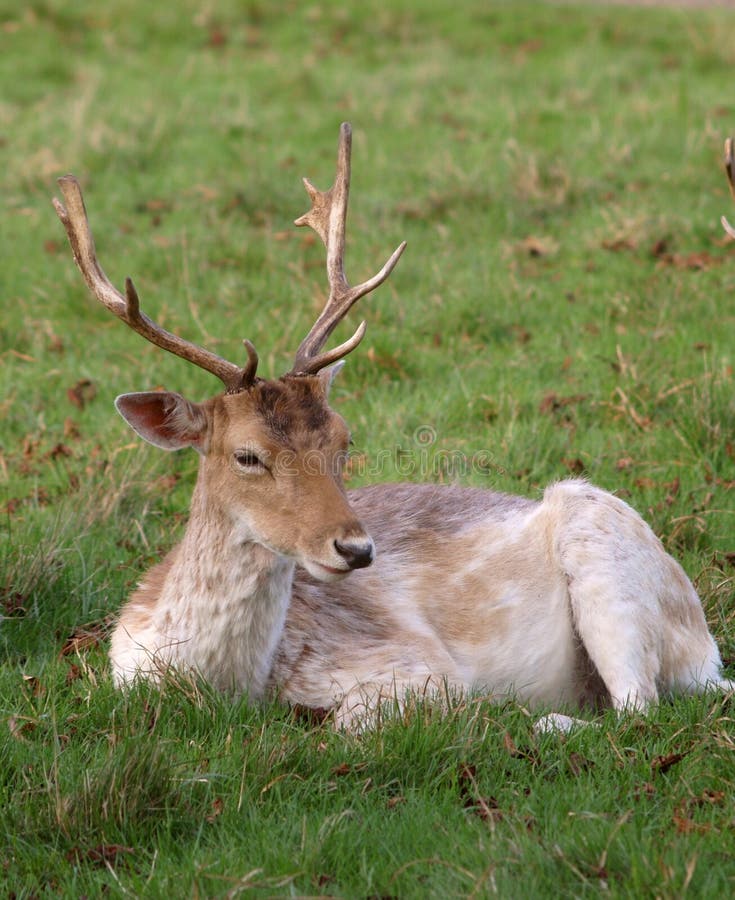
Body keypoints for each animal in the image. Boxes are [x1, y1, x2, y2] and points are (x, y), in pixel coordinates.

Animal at [53, 125, 734, 730]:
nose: (356, 548)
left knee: (638, 710)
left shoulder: (417, 665)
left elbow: (357, 721)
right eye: (247, 455)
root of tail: (707, 652)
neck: (221, 685)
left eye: (343, 442)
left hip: (609, 555)